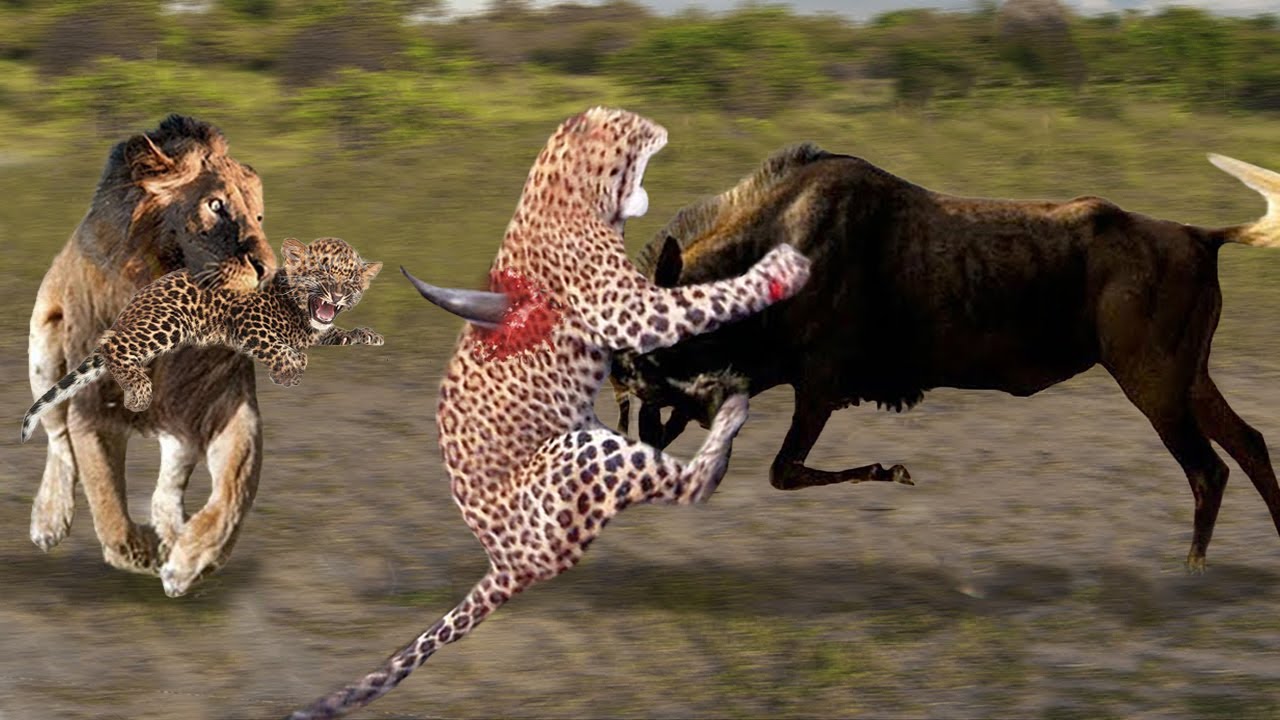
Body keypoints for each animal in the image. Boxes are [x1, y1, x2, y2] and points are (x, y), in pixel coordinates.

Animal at [23, 237, 384, 453]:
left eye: (350, 281)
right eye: (323, 274)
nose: (337, 295)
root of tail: (130, 310)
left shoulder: (319, 332)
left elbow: (338, 334)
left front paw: (369, 335)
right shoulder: (248, 320)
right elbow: (278, 348)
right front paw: (290, 371)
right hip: (169, 321)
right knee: (115, 346)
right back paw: (138, 393)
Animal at [26, 114, 278, 597]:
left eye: (258, 216)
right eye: (216, 205)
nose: (267, 269)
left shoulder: (229, 405)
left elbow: (236, 490)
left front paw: (192, 560)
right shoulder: (94, 412)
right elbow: (106, 502)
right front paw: (141, 554)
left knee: (168, 484)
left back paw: (174, 532)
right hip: (43, 349)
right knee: (56, 439)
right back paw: (49, 518)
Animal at [286, 107, 811, 719]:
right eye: (633, 128)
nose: (660, 129)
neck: (567, 185)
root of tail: (506, 564)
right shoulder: (629, 308)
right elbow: (709, 299)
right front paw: (783, 268)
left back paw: (715, 395)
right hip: (574, 453)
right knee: (692, 483)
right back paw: (729, 409)